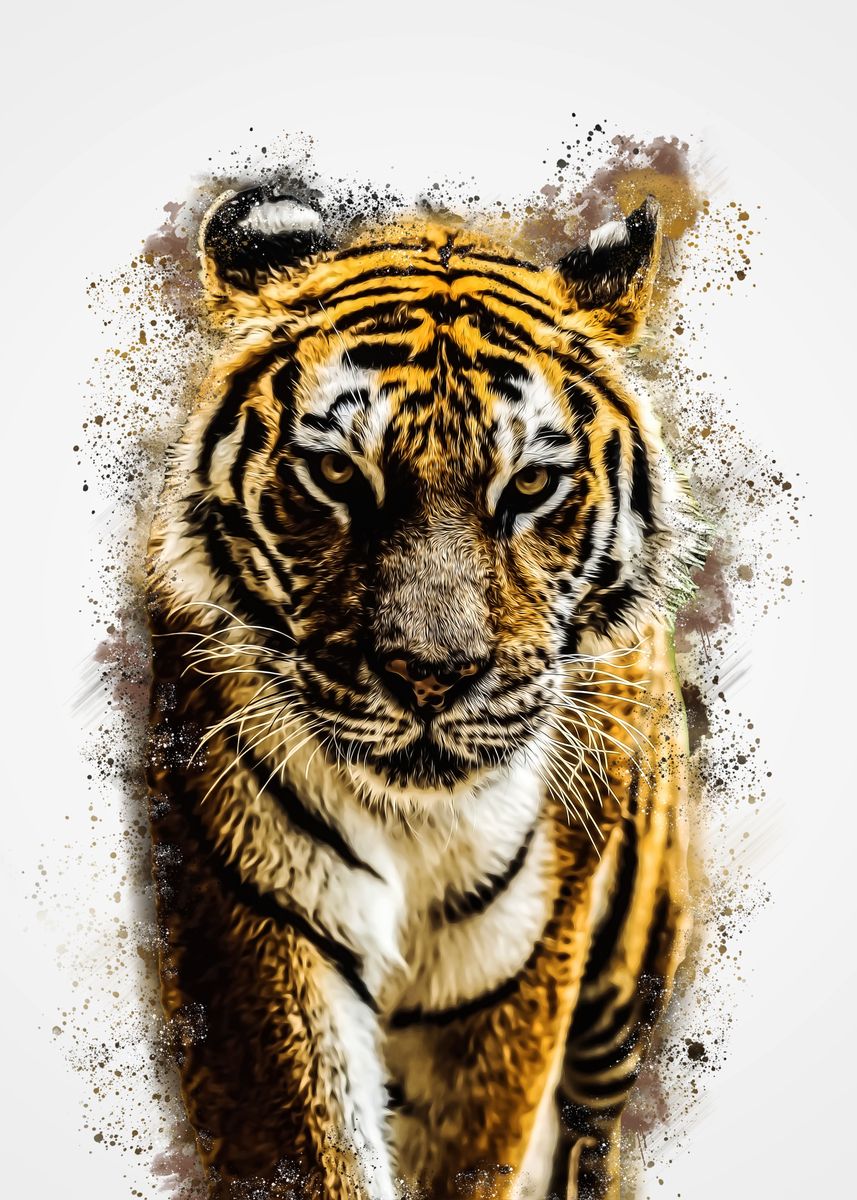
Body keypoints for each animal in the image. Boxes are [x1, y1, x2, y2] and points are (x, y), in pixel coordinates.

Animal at [145, 182, 704, 1200]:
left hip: (625, 978)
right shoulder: (255, 921)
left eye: (530, 484)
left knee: (591, 1133)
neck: (415, 820)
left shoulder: (514, 965)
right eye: (337, 472)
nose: (429, 675)